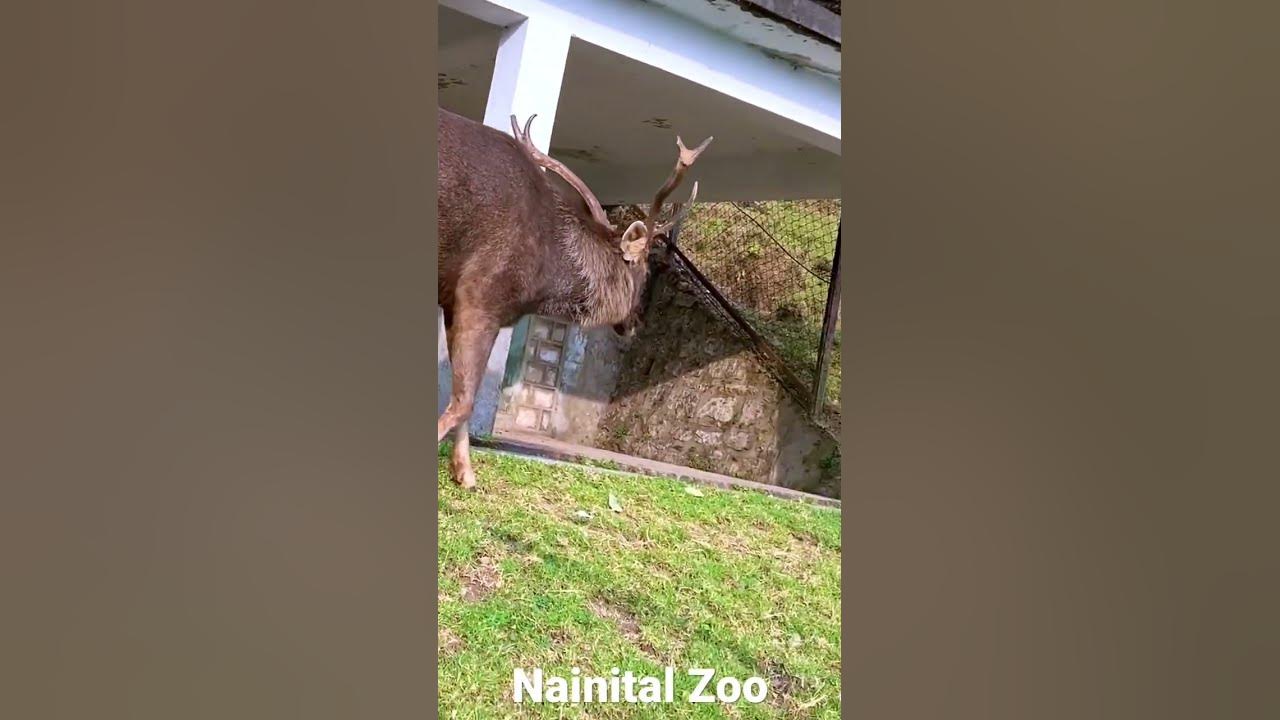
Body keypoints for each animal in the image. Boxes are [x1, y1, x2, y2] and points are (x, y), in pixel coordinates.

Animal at [437, 107, 712, 489]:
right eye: (643, 274)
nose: (636, 323)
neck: (545, 279)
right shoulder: (482, 292)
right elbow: (463, 401)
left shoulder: (453, 300)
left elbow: (467, 397)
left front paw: (464, 472)